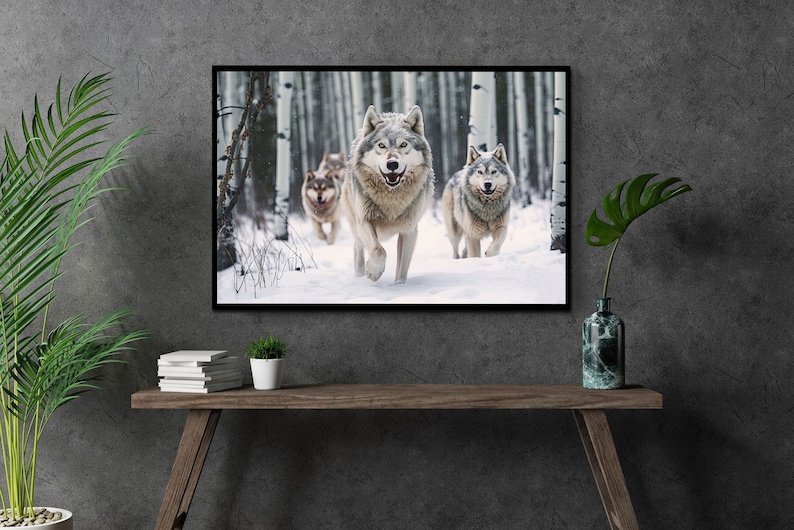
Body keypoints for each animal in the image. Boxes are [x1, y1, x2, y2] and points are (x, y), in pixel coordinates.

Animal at [342, 105, 434, 283]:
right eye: (382, 145)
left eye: (403, 144)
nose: (392, 164)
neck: (391, 197)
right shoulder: (364, 221)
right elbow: (379, 250)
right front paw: (373, 272)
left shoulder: (409, 230)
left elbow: (402, 268)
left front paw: (399, 286)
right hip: (355, 224)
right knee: (358, 248)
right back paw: (360, 275)